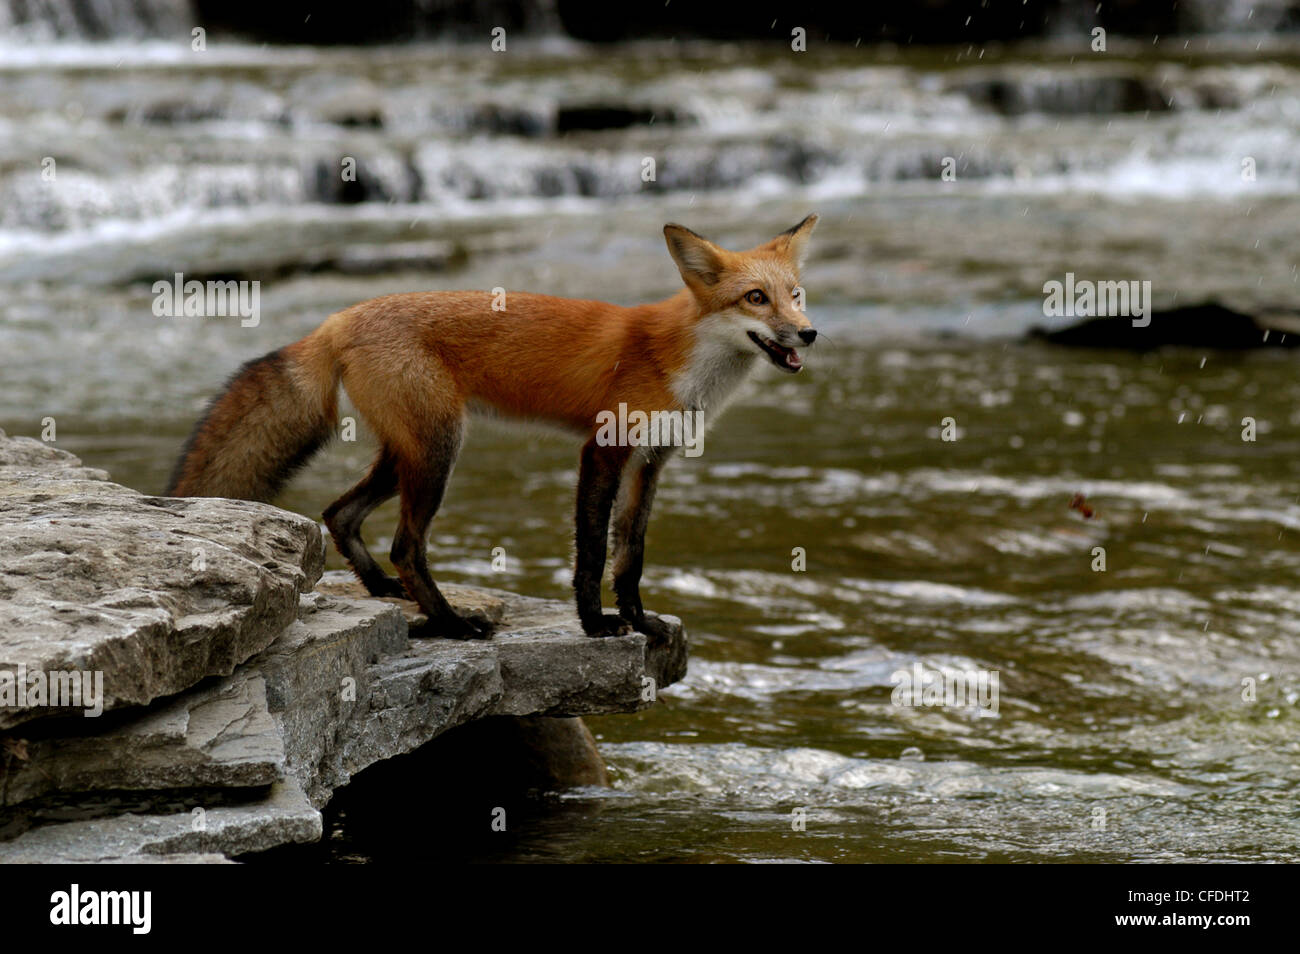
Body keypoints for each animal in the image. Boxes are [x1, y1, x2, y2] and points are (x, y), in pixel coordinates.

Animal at [166, 214, 819, 640]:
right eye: (755, 298)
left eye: (796, 294)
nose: (809, 333)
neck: (678, 362)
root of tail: (338, 317)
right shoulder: (602, 450)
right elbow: (591, 554)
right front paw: (595, 624)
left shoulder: (651, 462)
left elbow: (630, 556)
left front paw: (640, 621)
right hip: (437, 451)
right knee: (406, 545)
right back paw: (452, 623)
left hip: (407, 453)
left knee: (339, 513)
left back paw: (384, 591)